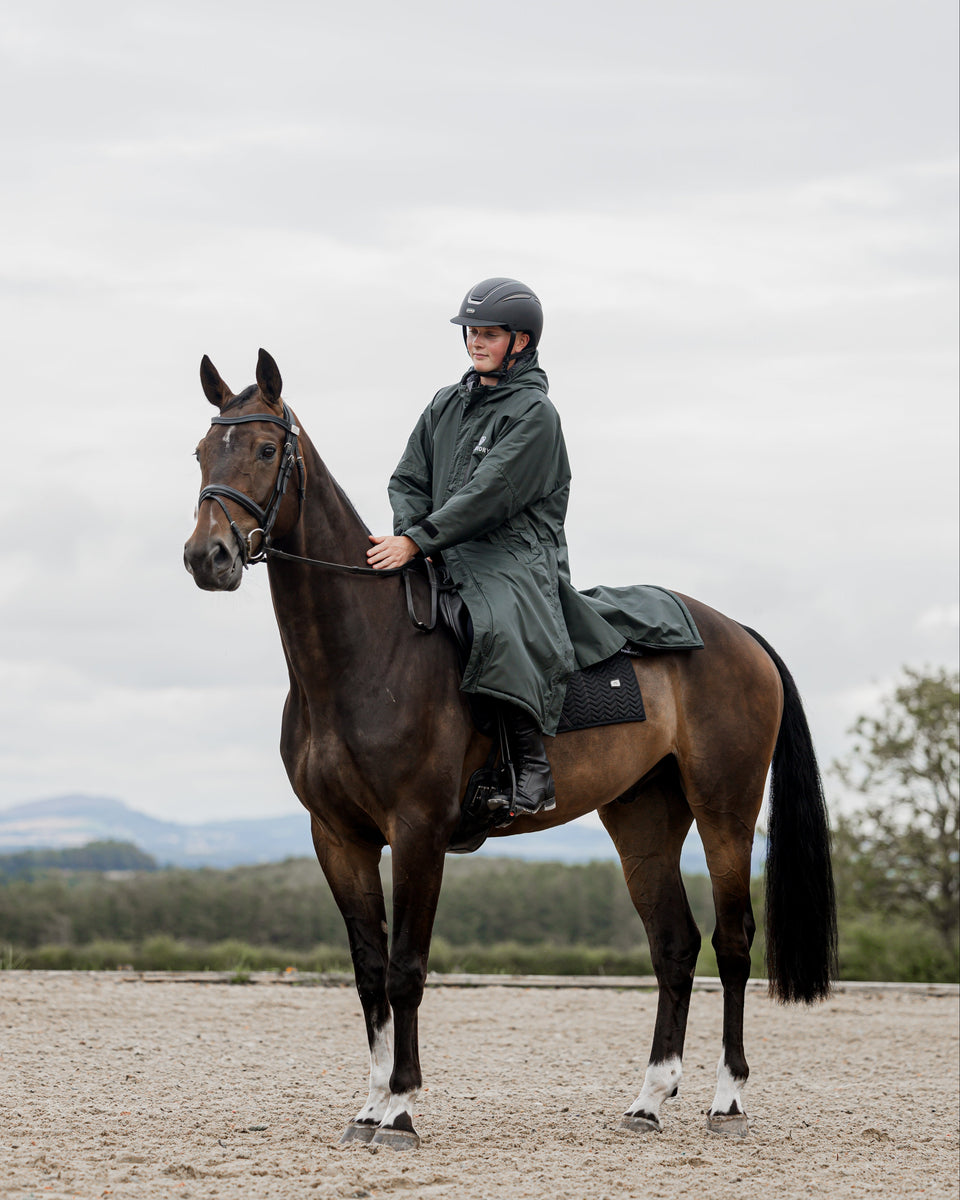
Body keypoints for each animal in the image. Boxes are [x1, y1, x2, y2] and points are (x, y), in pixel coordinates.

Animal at [183, 348, 837, 1150]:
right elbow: (368, 973)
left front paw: (400, 1110)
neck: (364, 651)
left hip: (726, 812)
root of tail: (736, 632)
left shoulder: (418, 831)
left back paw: (727, 1100)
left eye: (266, 450)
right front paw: (368, 1106)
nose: (207, 556)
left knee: (735, 941)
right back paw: (650, 1098)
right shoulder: (338, 837)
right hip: (642, 820)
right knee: (675, 946)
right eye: (202, 451)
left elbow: (405, 968)